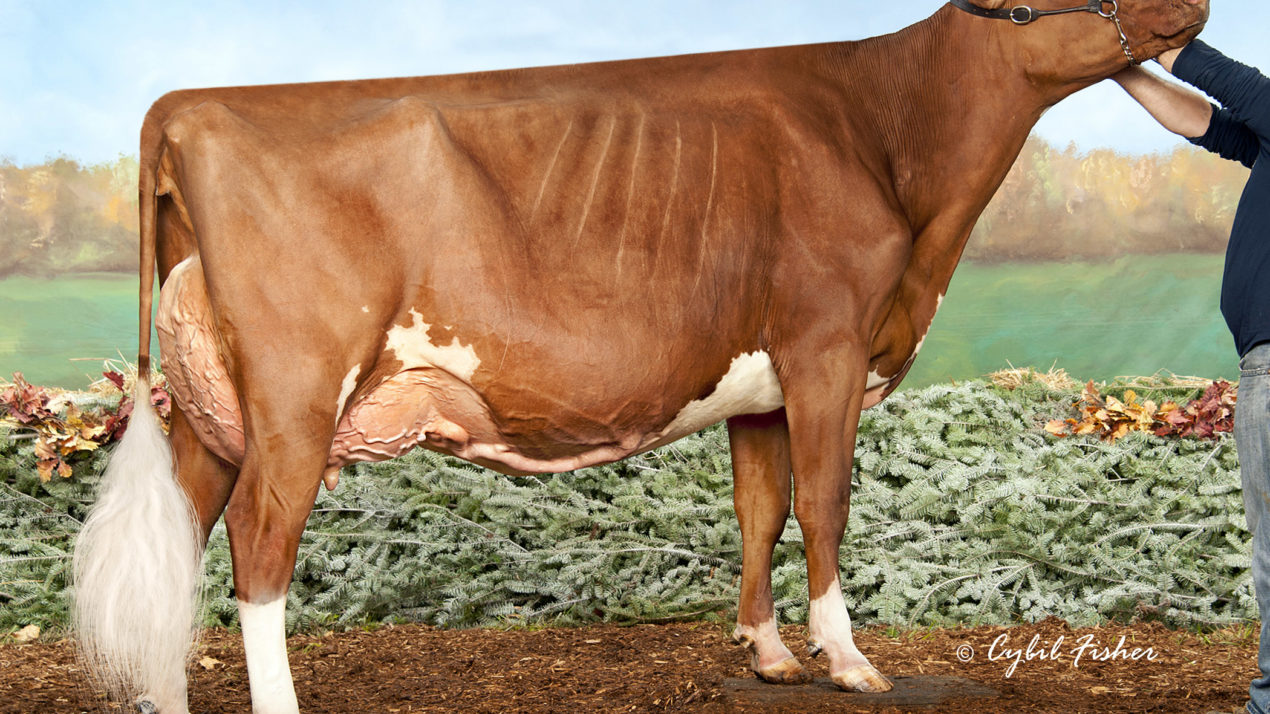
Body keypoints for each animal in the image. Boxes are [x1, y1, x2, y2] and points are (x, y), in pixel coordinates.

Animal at [72, 1, 1209, 712]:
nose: (1195, 4)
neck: (887, 137)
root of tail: (189, 105)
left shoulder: (759, 383)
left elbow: (762, 508)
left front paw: (767, 652)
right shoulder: (828, 344)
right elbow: (828, 501)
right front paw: (846, 659)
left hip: (213, 406)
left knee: (186, 528)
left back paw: (162, 694)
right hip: (297, 395)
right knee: (258, 543)